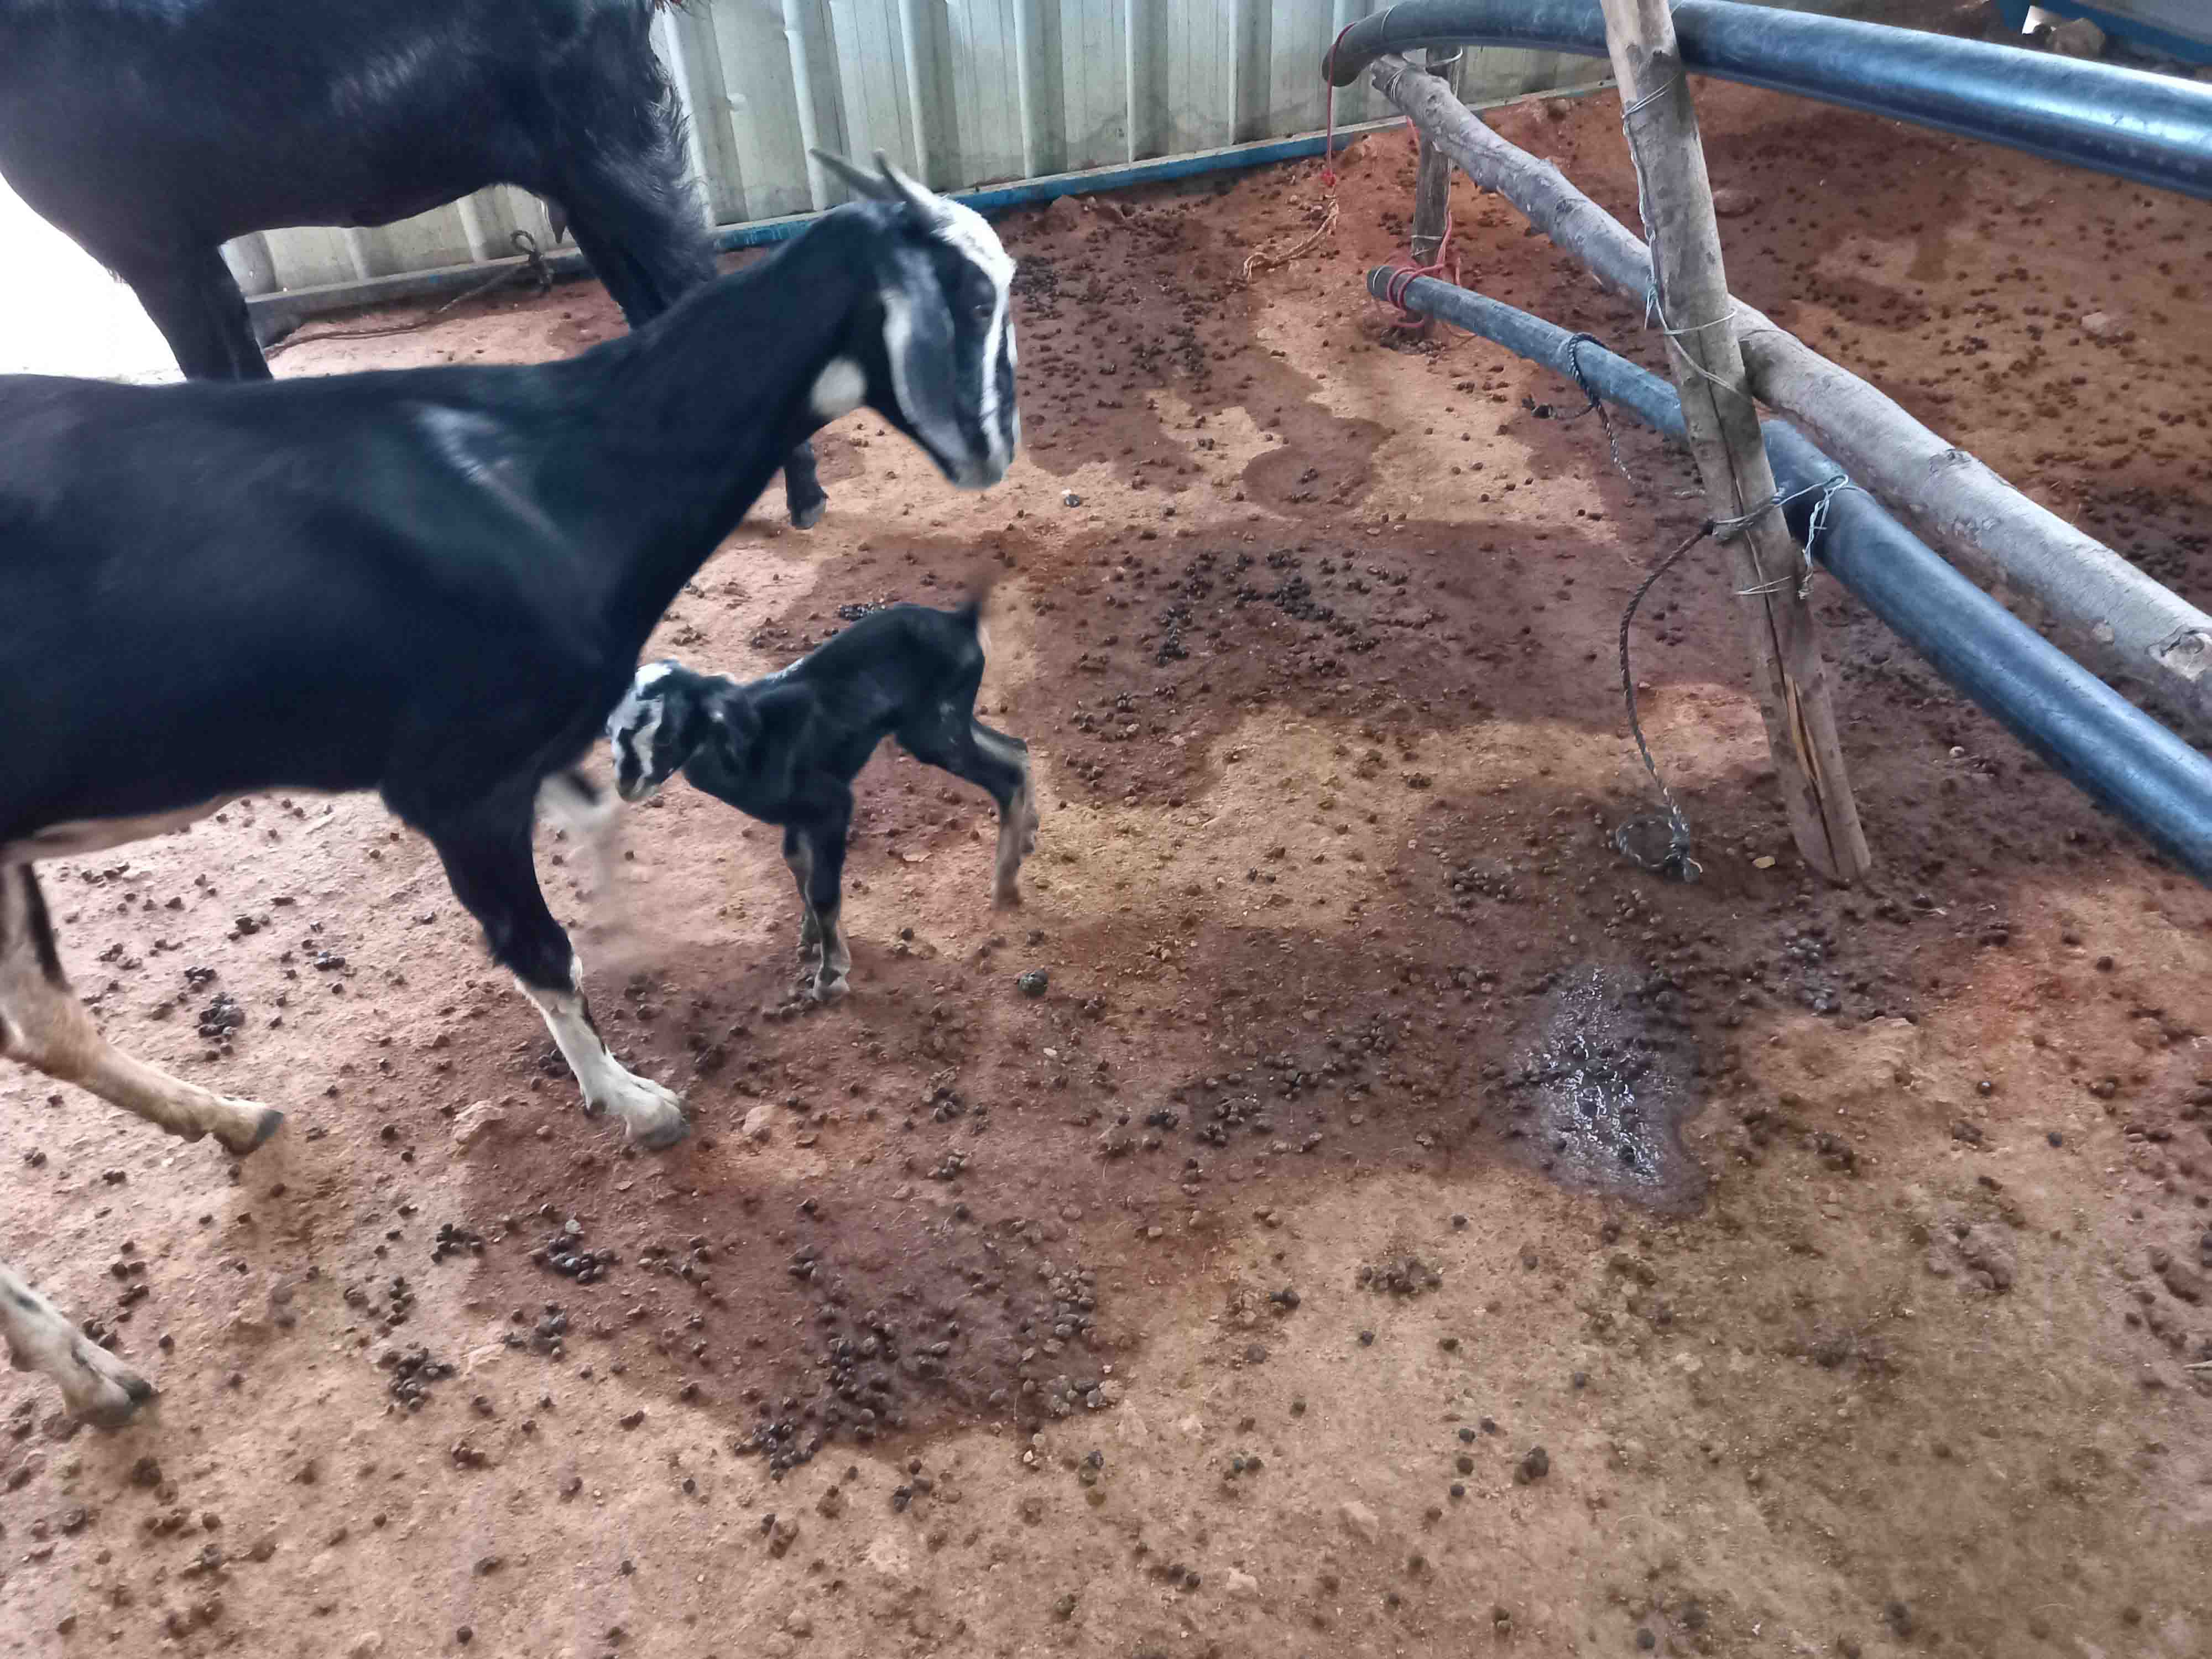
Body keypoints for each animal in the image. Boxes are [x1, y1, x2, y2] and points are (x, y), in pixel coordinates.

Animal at [0, 0, 828, 529]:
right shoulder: (194, 247)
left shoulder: (148, 247)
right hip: (578, 175)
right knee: (654, 305)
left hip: (612, 143)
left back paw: (803, 497)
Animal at [607, 597, 1038, 1001]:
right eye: (608, 732)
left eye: (665, 735)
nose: (627, 785)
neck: (754, 743)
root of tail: (961, 619)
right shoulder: (797, 815)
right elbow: (799, 866)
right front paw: (812, 939)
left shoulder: (832, 804)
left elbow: (822, 891)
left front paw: (831, 977)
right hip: (941, 727)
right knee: (1016, 748)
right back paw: (1028, 837)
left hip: (936, 731)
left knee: (1006, 777)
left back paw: (1005, 885)